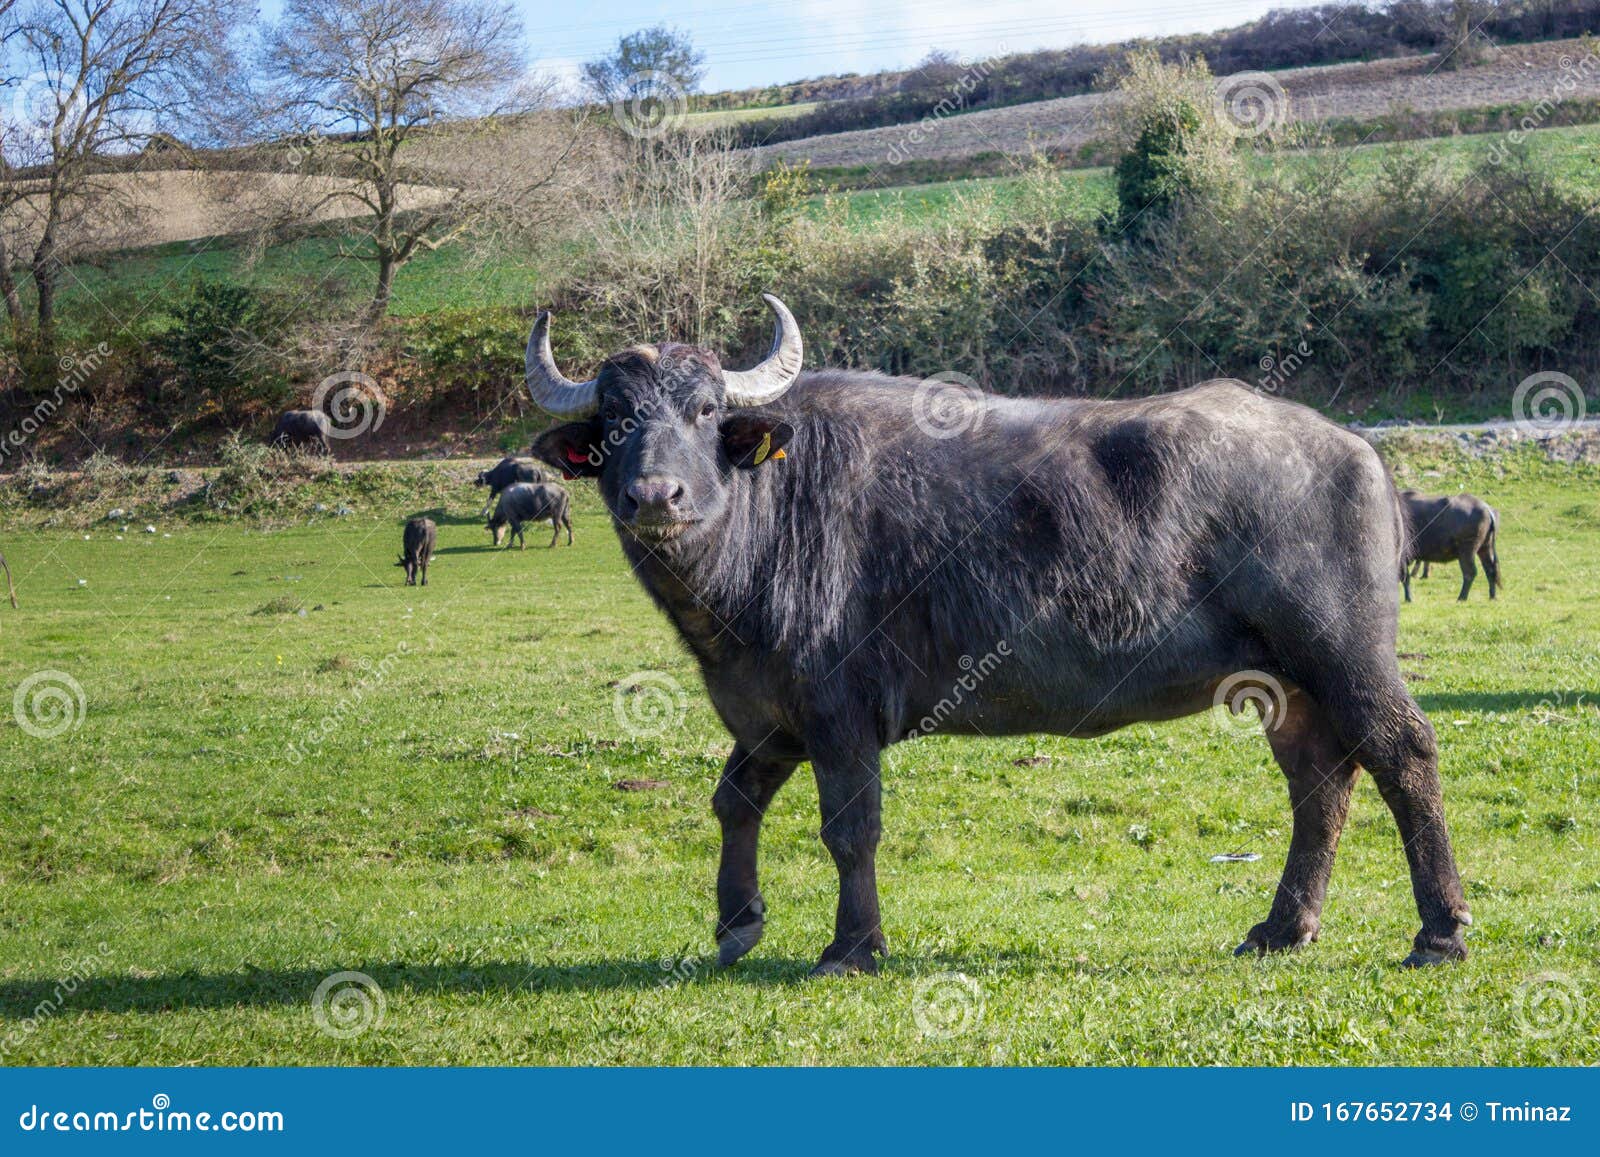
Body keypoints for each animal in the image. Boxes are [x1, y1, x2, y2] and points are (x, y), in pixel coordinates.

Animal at [524, 294, 1470, 975]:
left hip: (1341, 651)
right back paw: (1283, 926)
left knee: (1403, 752)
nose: (656, 496)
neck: (764, 526)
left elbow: (850, 828)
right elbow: (733, 799)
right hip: (1284, 684)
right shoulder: (770, 714)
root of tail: (1355, 449)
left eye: (705, 409)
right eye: (616, 418)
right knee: (1321, 782)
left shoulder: (839, 714)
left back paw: (1439, 931)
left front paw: (851, 946)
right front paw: (735, 921)